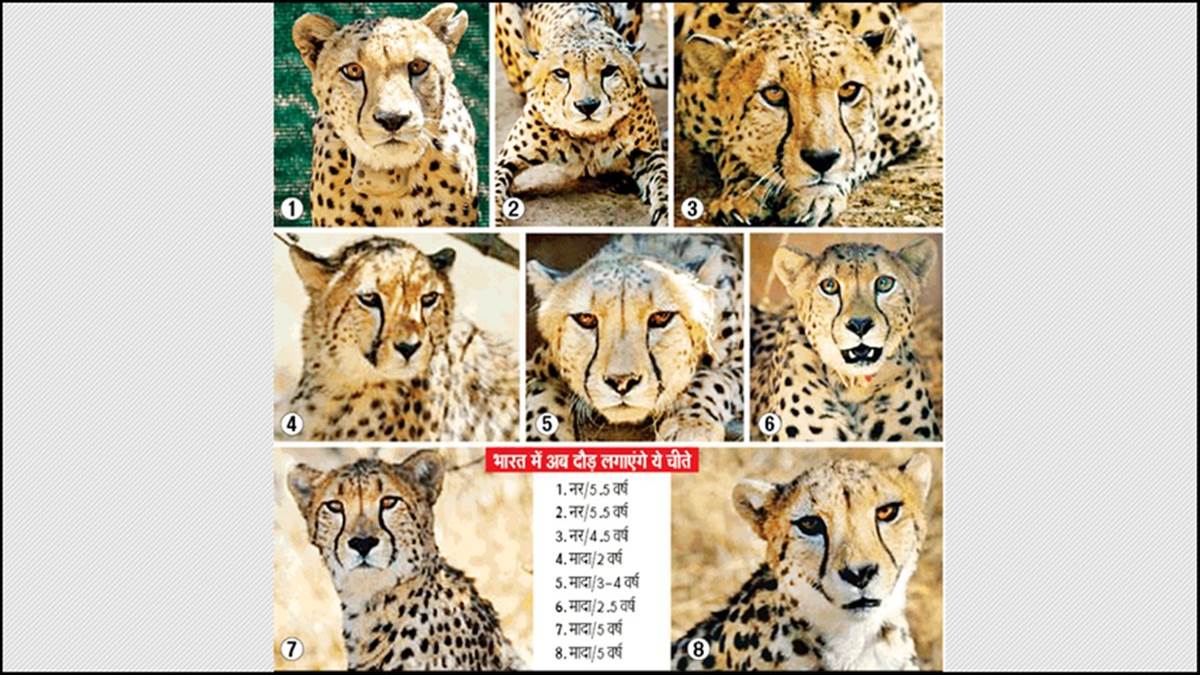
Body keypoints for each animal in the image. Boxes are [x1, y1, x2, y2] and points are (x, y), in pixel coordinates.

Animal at [493, 3, 668, 227]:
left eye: (609, 70)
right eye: (560, 73)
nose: (587, 106)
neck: (590, 136)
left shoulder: (647, 152)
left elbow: (662, 182)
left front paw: (664, 215)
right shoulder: (506, 159)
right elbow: (494, 191)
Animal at [526, 234, 743, 442]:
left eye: (661, 317)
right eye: (586, 319)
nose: (621, 382)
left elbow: (711, 378)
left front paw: (690, 423)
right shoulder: (532, 370)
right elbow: (539, 391)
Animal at [674, 3, 940, 226]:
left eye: (849, 89)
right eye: (773, 93)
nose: (822, 159)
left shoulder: (919, 124)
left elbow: (863, 151)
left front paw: (816, 195)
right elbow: (730, 149)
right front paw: (744, 190)